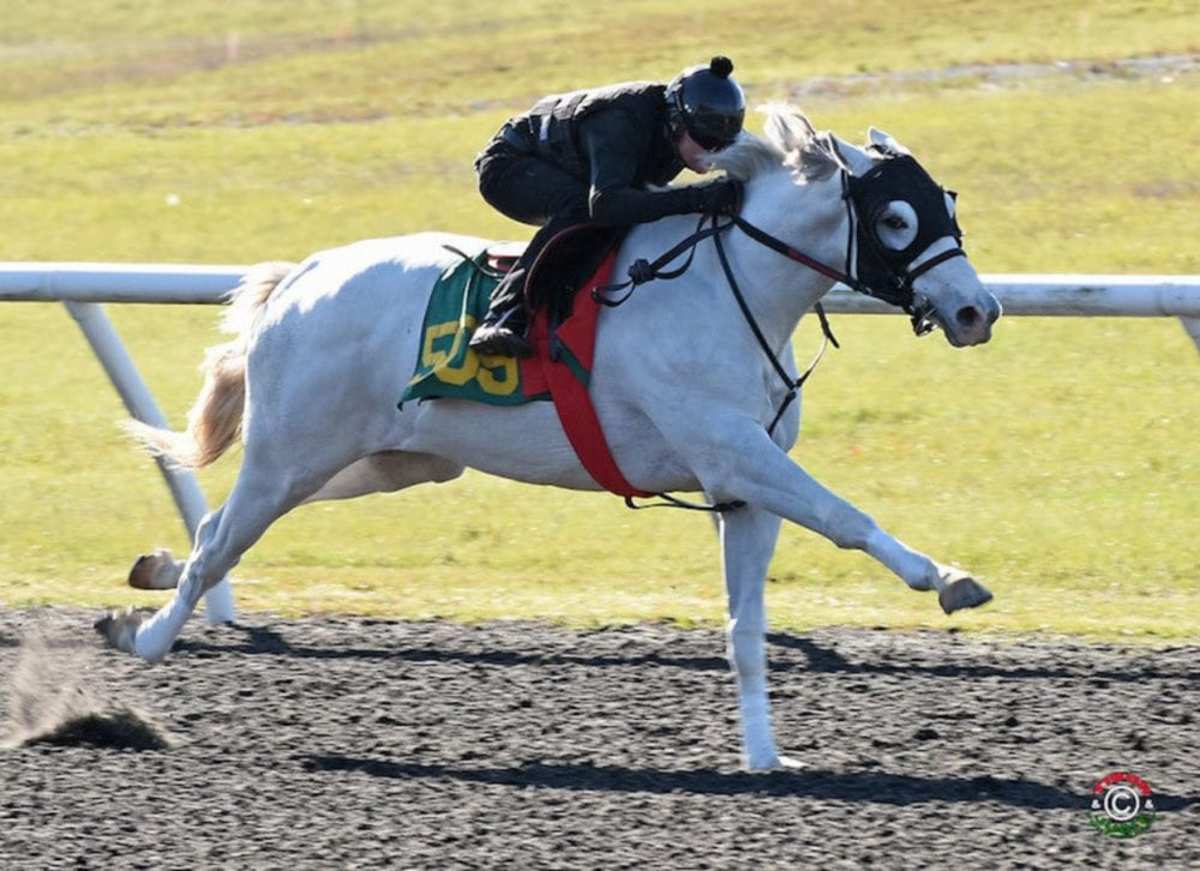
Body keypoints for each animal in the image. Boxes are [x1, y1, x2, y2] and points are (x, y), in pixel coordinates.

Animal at [98, 106, 1001, 771]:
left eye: (949, 203)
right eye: (895, 217)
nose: (976, 310)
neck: (728, 288)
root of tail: (301, 279)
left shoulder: (742, 488)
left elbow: (746, 630)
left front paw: (765, 758)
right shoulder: (734, 450)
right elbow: (847, 517)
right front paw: (950, 579)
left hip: (390, 458)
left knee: (224, 526)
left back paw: (151, 574)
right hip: (293, 450)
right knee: (223, 537)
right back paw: (146, 639)